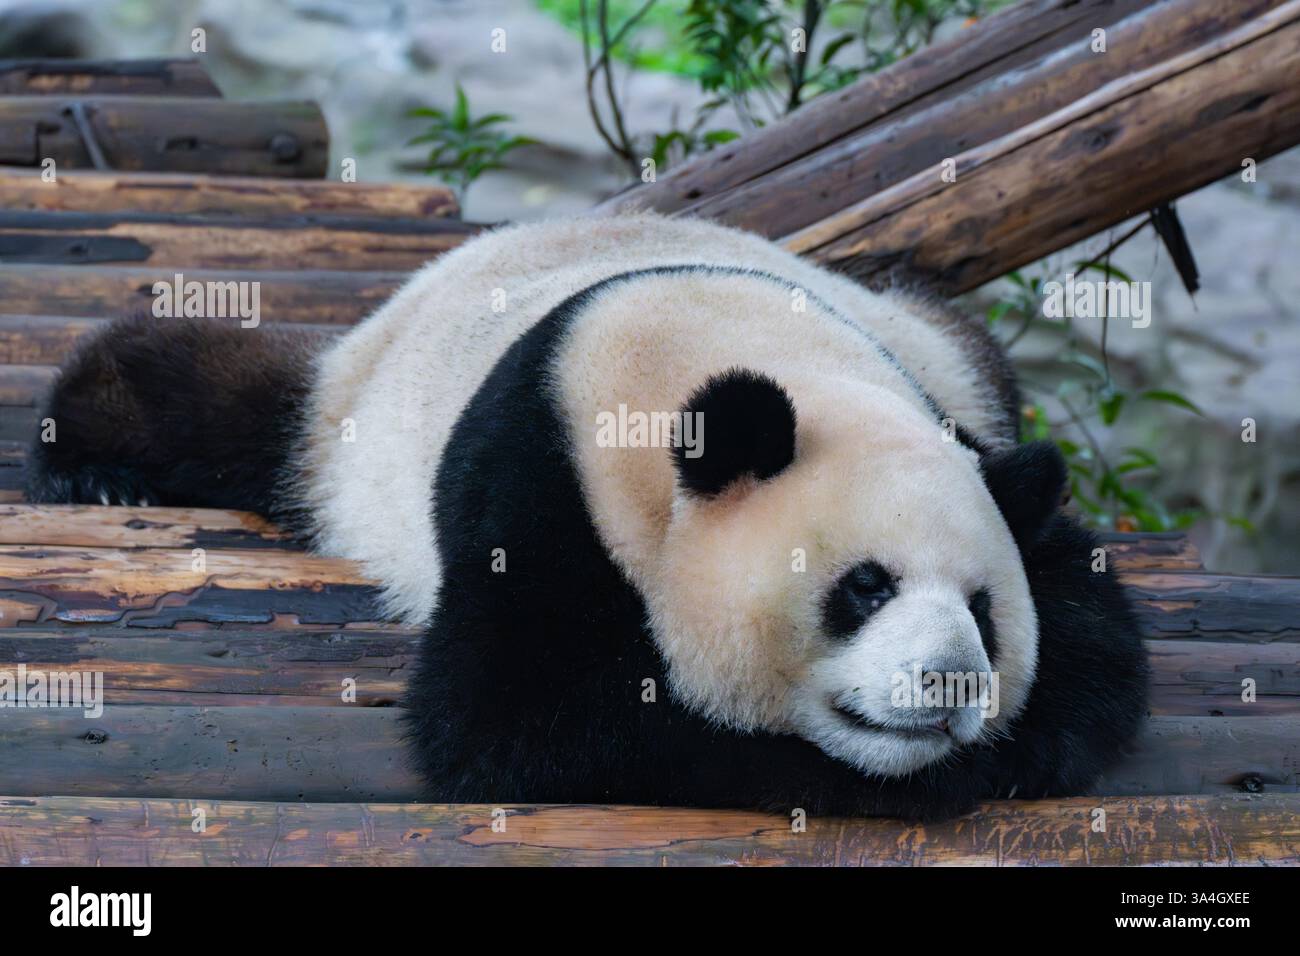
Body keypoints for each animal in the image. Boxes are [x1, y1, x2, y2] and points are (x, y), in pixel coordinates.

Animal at [29, 214, 1148, 820]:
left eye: (983, 609)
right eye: (863, 587)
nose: (954, 684)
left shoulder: (951, 429)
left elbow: (1086, 611)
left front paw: (1018, 745)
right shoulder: (539, 481)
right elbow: (521, 718)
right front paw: (892, 778)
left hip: (939, 346)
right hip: (347, 411)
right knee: (218, 392)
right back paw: (90, 462)